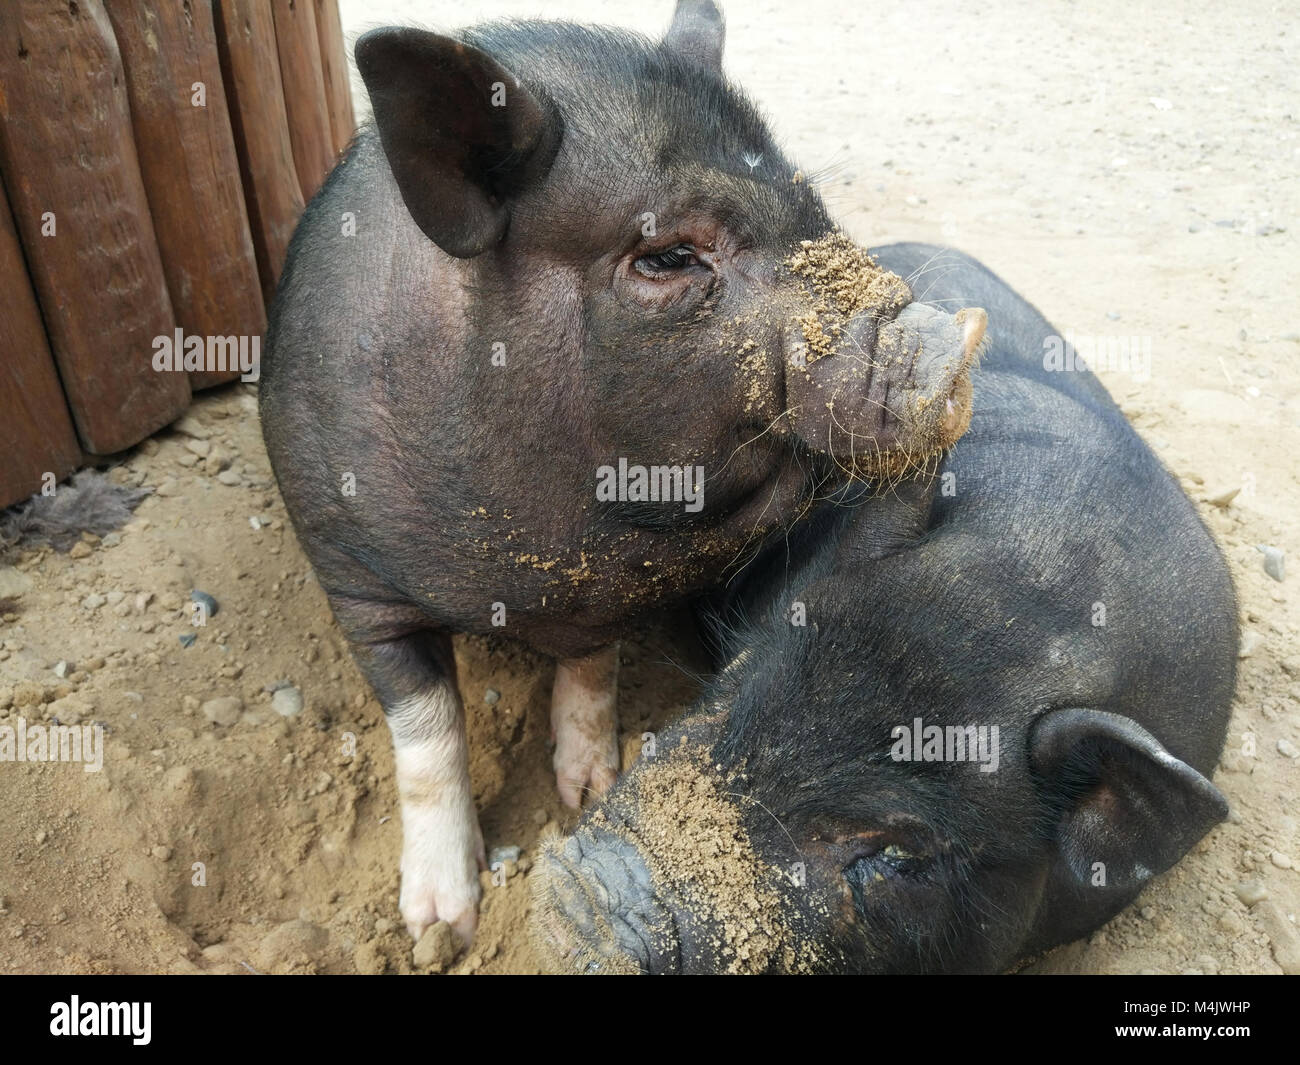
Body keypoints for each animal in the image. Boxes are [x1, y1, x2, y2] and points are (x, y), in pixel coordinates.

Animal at [259, 2, 985, 944]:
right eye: (668, 257)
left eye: (811, 201)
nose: (942, 340)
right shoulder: (350, 574)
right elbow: (426, 727)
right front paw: (439, 923)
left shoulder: (609, 588)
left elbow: (592, 671)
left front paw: (587, 792)